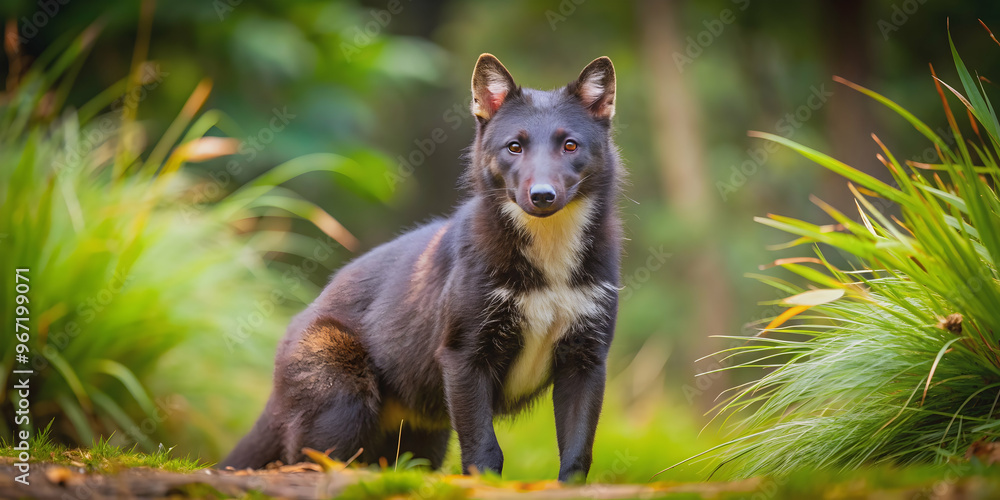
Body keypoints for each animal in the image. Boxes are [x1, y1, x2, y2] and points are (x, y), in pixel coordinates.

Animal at [221, 53, 622, 482]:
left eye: (570, 145)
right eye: (514, 146)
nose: (542, 196)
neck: (548, 264)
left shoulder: (586, 359)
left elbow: (577, 453)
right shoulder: (464, 356)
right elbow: (484, 449)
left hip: (424, 442)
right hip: (343, 403)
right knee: (305, 463)